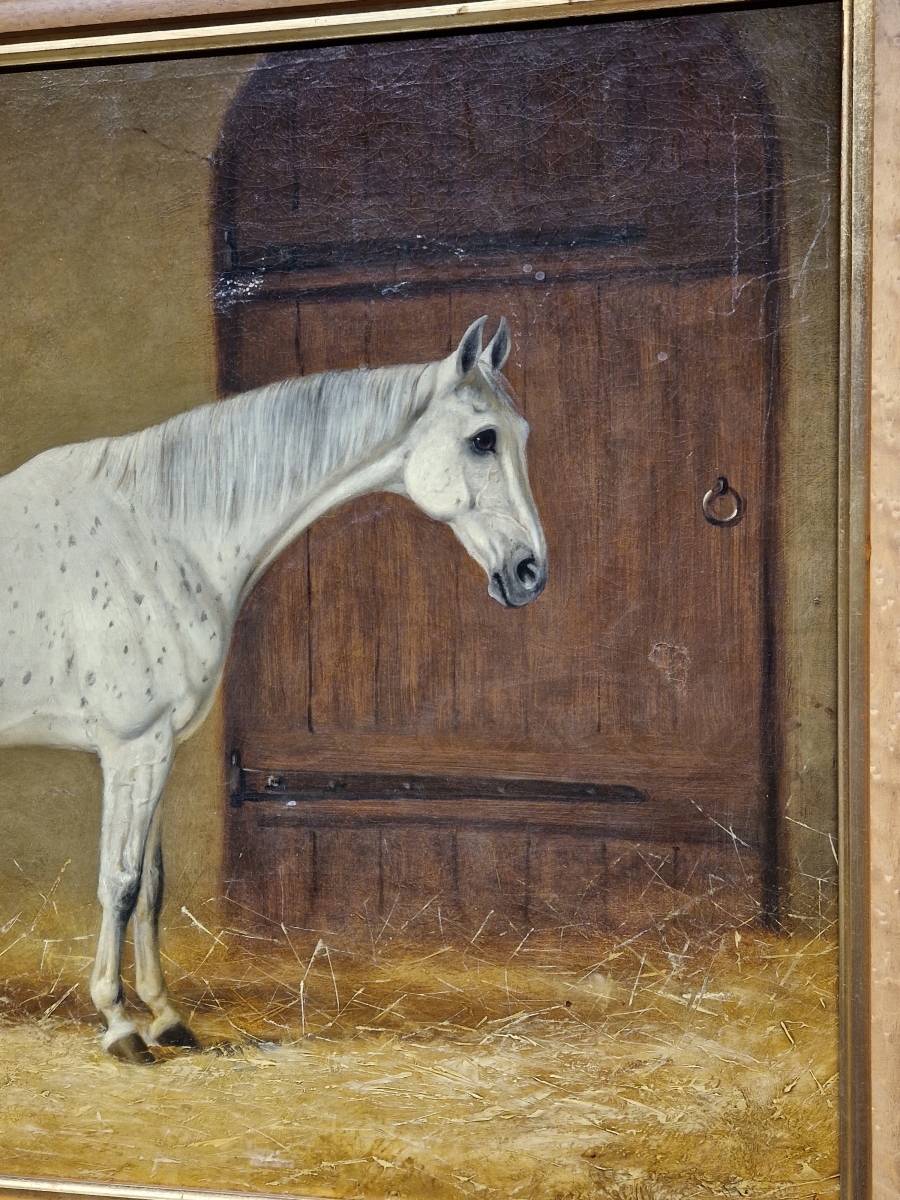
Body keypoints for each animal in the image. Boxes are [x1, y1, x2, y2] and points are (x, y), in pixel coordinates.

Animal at [0, 316, 546, 1063]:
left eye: (522, 434)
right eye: (484, 438)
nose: (530, 571)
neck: (157, 532)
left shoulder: (158, 749)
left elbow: (153, 887)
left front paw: (165, 1016)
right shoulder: (133, 748)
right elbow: (121, 882)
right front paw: (119, 1026)